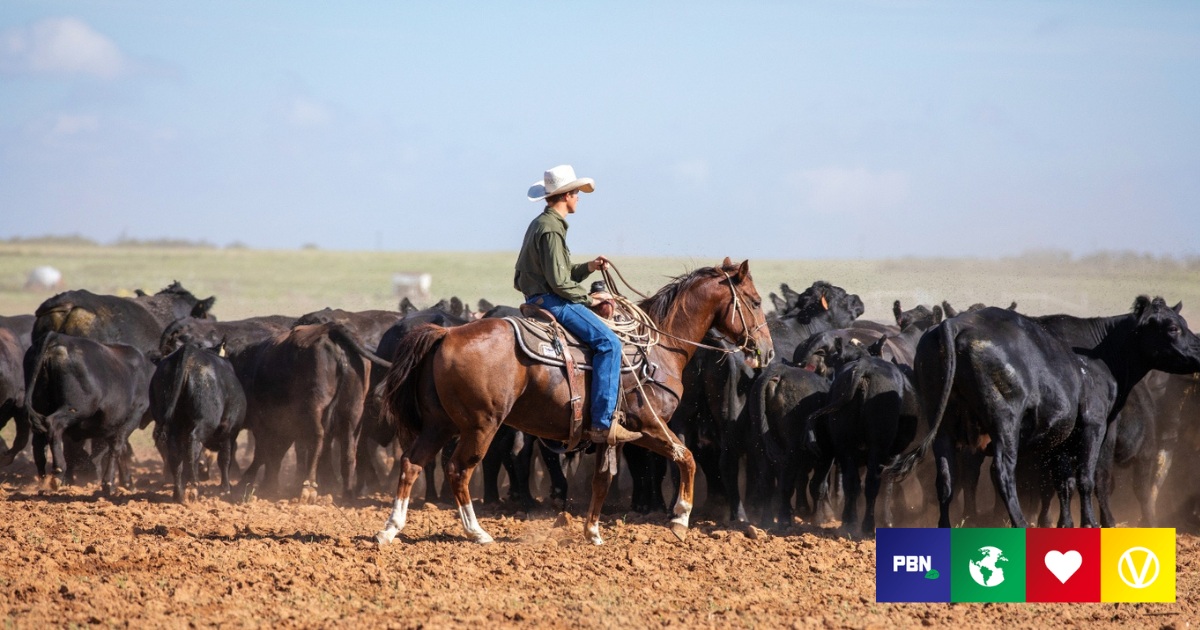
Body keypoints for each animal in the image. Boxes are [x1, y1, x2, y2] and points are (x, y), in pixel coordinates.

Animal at [23, 332, 153, 494]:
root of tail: (57, 337)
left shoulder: (111, 425)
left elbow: (121, 449)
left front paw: (127, 483)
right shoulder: (133, 417)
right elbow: (118, 446)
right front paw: (109, 483)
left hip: (41, 406)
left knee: (39, 444)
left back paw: (43, 482)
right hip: (76, 408)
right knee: (54, 425)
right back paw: (58, 472)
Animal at [150, 342, 246, 503]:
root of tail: (188, 352)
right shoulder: (230, 430)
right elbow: (225, 458)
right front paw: (225, 489)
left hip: (172, 424)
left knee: (175, 452)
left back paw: (179, 492)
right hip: (203, 422)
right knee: (194, 444)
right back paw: (193, 488)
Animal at [891, 297, 1200, 528]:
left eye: (1184, 324)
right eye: (1173, 327)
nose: (1199, 351)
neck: (1099, 352)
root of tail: (953, 325)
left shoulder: (1060, 436)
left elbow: (1063, 482)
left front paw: (1064, 524)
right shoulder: (1096, 425)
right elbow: (1090, 478)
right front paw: (1096, 523)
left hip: (944, 428)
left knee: (946, 478)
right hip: (1004, 425)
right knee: (1002, 473)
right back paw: (1019, 523)